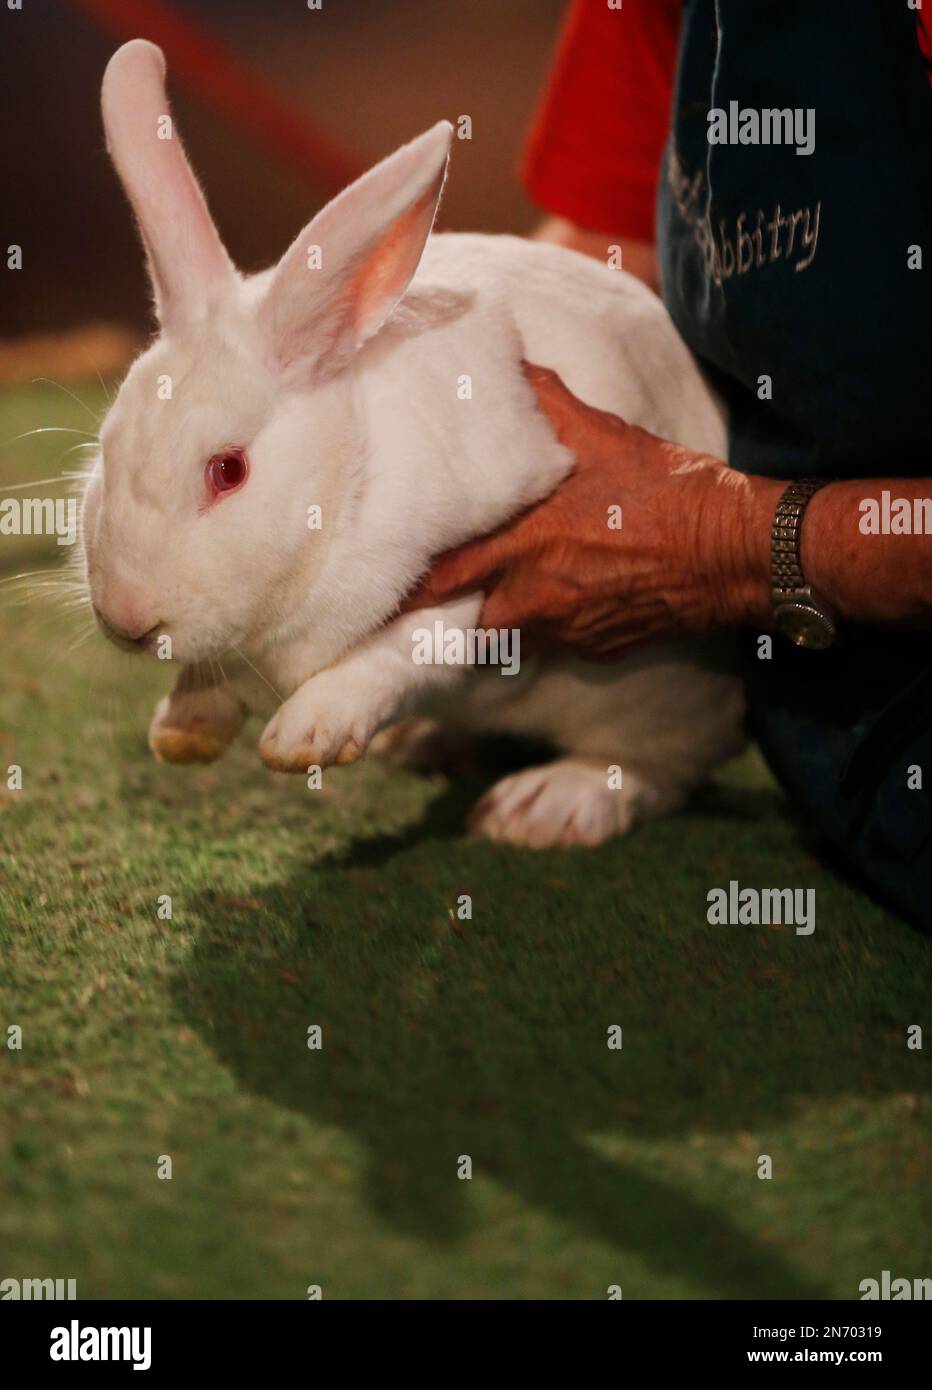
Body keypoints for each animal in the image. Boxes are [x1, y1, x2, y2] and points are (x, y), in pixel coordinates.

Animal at [82, 39, 745, 848]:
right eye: (109, 446)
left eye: (229, 470)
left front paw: (307, 730)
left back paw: (547, 805)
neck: (343, 483)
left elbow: (405, 651)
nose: (126, 620)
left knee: (658, 766)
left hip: (664, 694)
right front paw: (184, 725)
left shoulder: (487, 565)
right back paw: (426, 743)